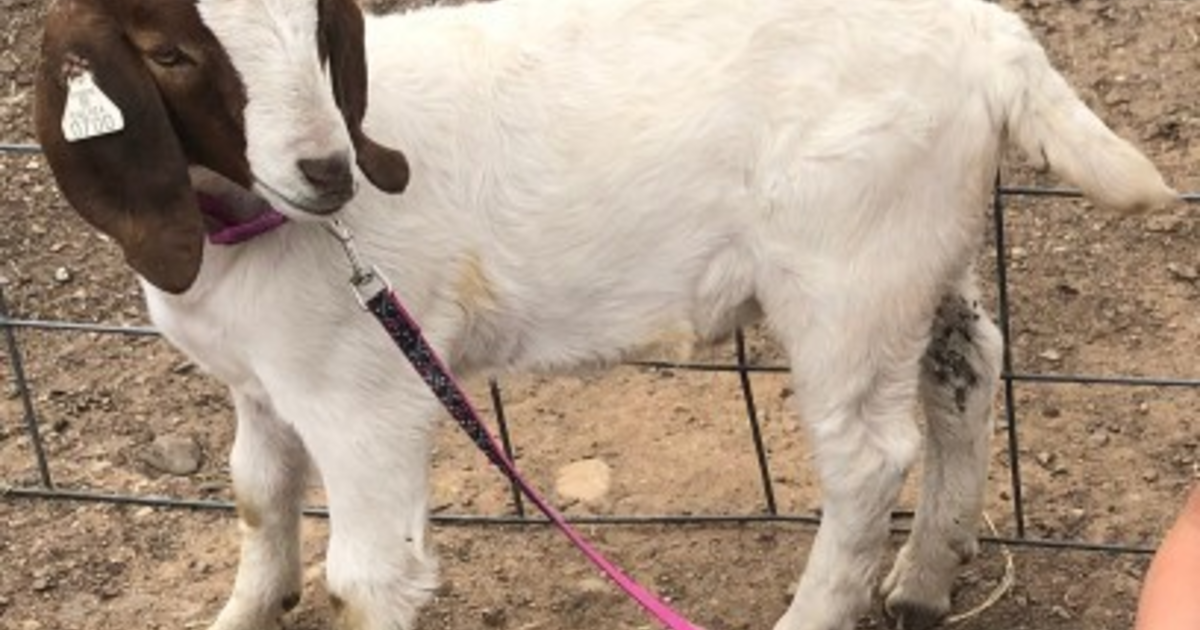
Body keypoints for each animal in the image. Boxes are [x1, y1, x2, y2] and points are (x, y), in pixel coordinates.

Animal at [33, 0, 1175, 629]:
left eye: (316, 28)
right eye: (168, 52)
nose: (328, 171)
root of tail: (991, 34)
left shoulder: (367, 400)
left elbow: (364, 578)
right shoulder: (265, 386)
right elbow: (257, 496)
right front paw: (242, 609)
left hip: (847, 270)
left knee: (866, 457)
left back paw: (816, 610)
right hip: (920, 249)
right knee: (965, 366)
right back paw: (928, 579)